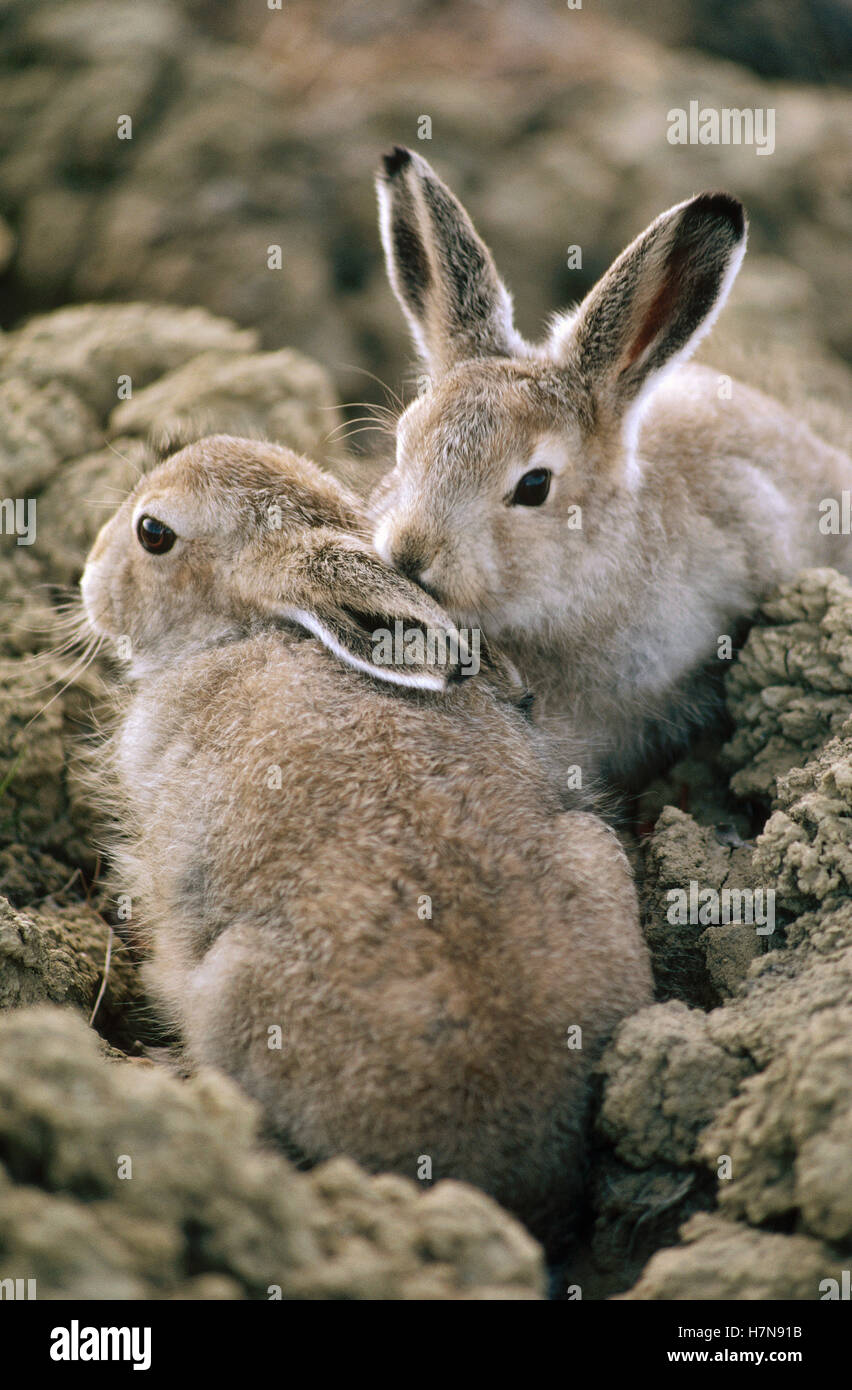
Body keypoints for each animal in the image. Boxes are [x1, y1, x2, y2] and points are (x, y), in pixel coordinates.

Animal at [79, 433, 652, 1243]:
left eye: (152, 533)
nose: (90, 578)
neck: (255, 627)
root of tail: (510, 1175)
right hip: (593, 851)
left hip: (230, 988)